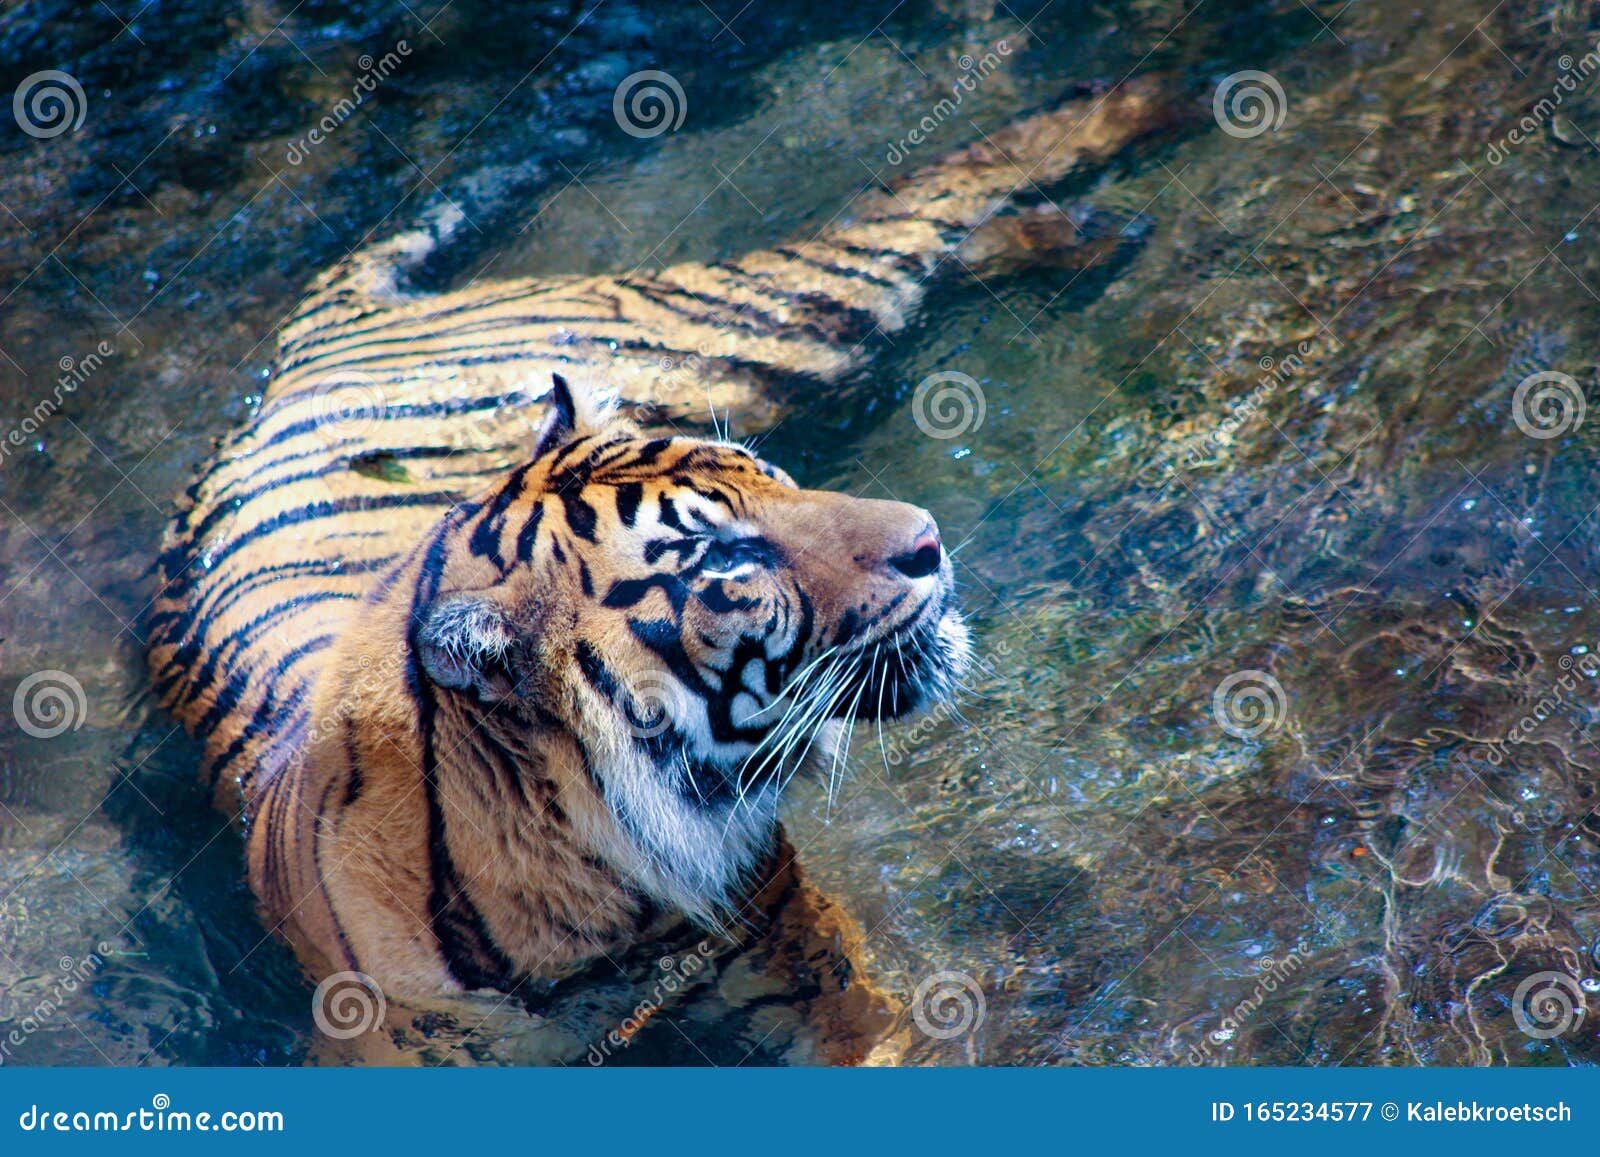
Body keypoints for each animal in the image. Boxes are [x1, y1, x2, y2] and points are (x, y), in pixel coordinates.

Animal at [145, 77, 1172, 1048]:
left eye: (772, 477)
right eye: (724, 555)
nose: (930, 540)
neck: (596, 889)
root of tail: (297, 351)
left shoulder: (779, 933)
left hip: (737, 336)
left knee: (905, 213)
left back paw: (1148, 113)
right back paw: (1090, 219)